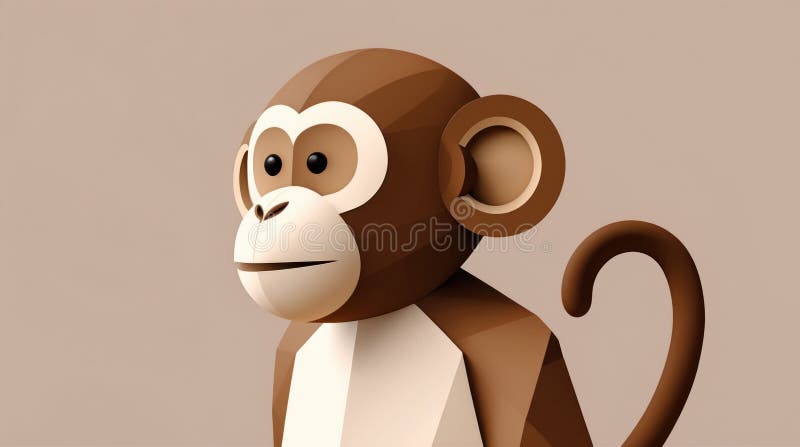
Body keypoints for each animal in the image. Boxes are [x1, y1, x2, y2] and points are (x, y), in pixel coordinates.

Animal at [230, 49, 704, 447]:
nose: (266, 208)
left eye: (319, 163)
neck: (375, 323)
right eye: (271, 165)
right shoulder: (287, 356)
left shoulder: (518, 355)